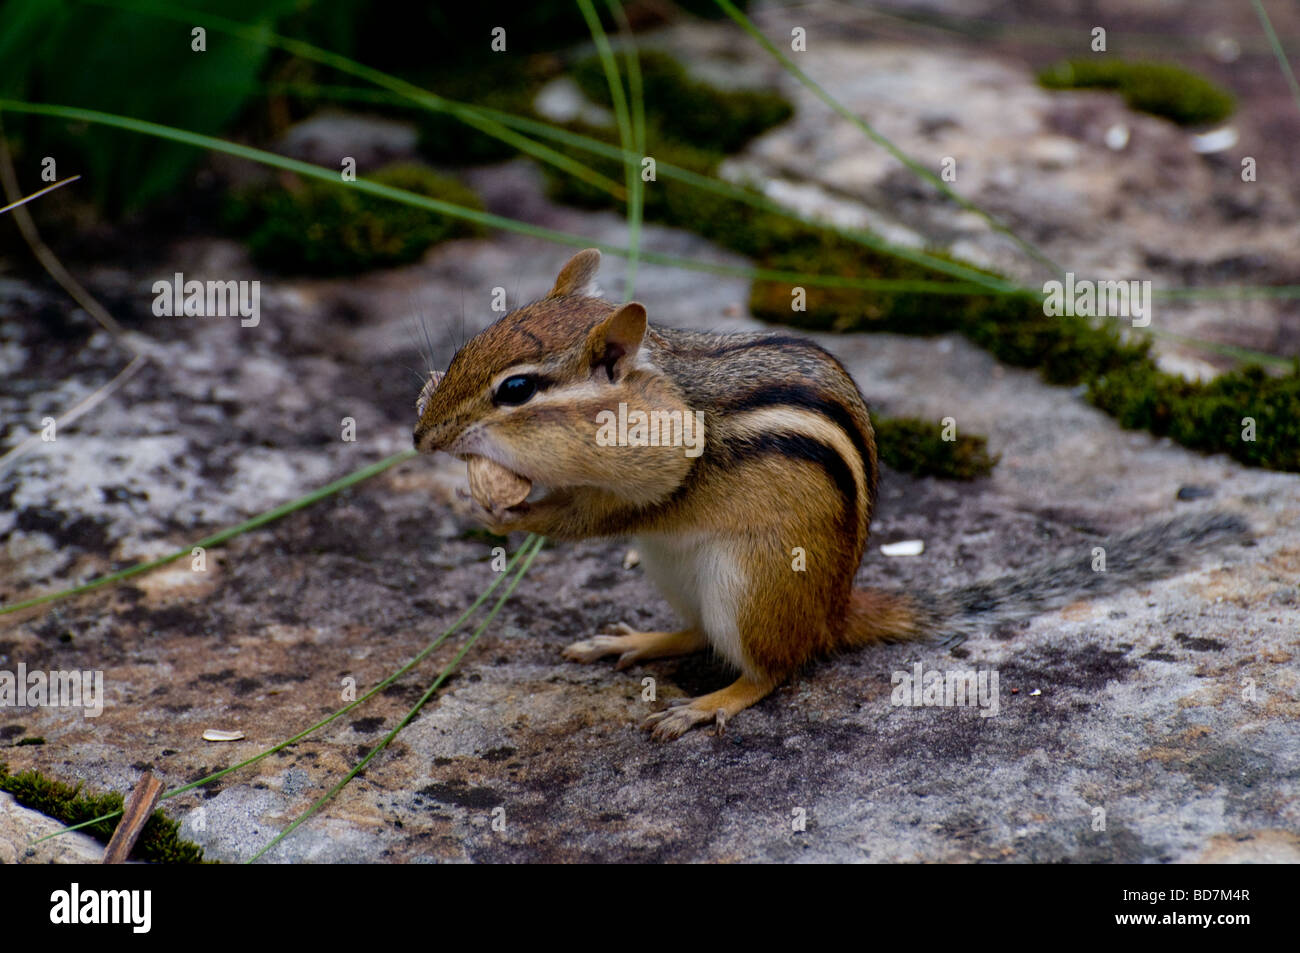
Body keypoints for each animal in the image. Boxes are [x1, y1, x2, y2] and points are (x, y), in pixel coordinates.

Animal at [413, 248, 1250, 740]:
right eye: (468, 348)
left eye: (516, 390)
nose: (421, 437)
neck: (654, 398)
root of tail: (833, 610)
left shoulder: (663, 483)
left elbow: (600, 514)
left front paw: (511, 510)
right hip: (674, 571)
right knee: (697, 633)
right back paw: (639, 640)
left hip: (748, 583)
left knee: (771, 667)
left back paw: (710, 704)